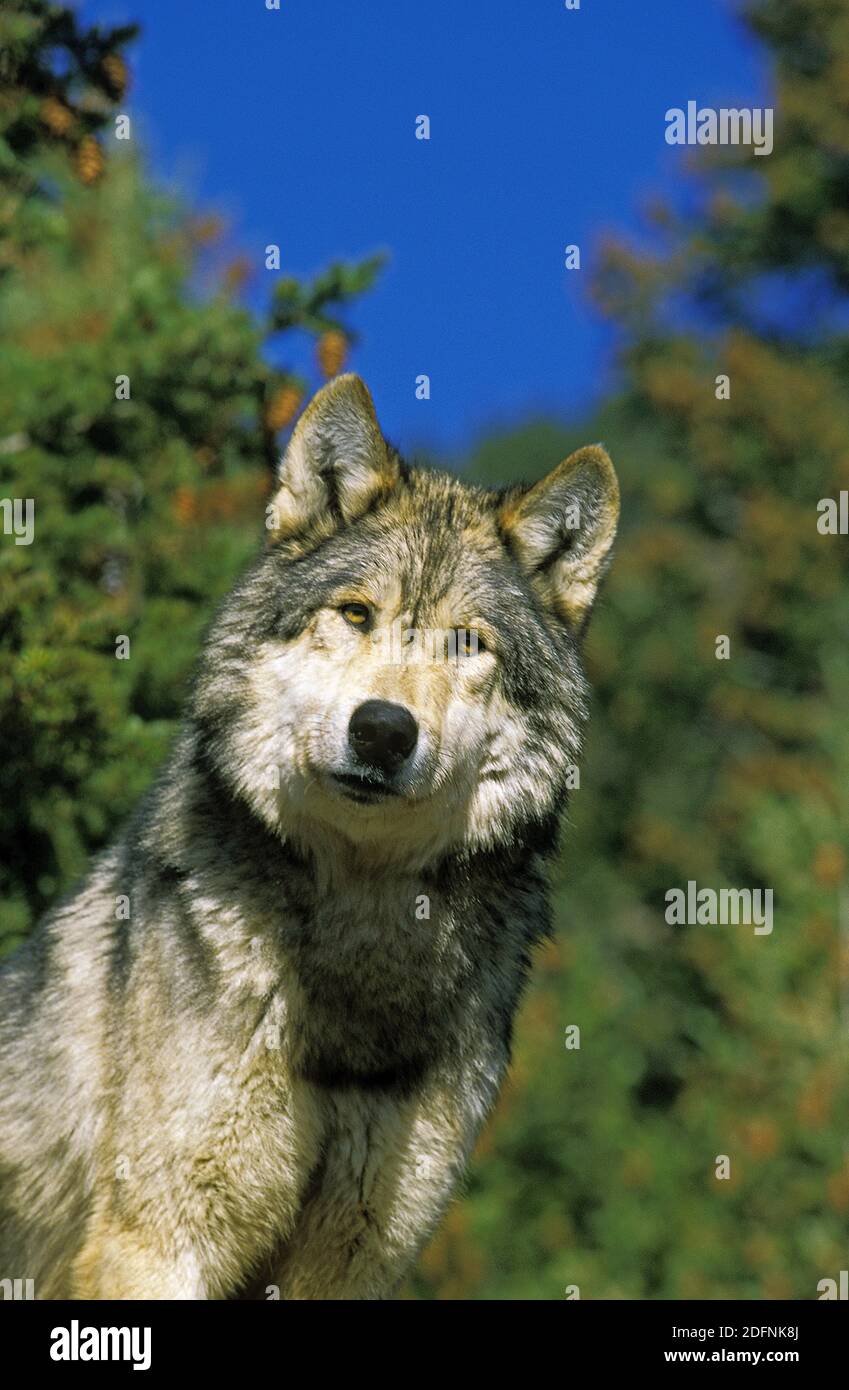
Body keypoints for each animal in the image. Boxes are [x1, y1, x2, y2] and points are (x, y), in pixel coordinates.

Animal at [0, 375, 618, 1299]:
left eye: (467, 642)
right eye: (356, 613)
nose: (382, 731)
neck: (358, 935)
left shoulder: (353, 1261)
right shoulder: (156, 1240)